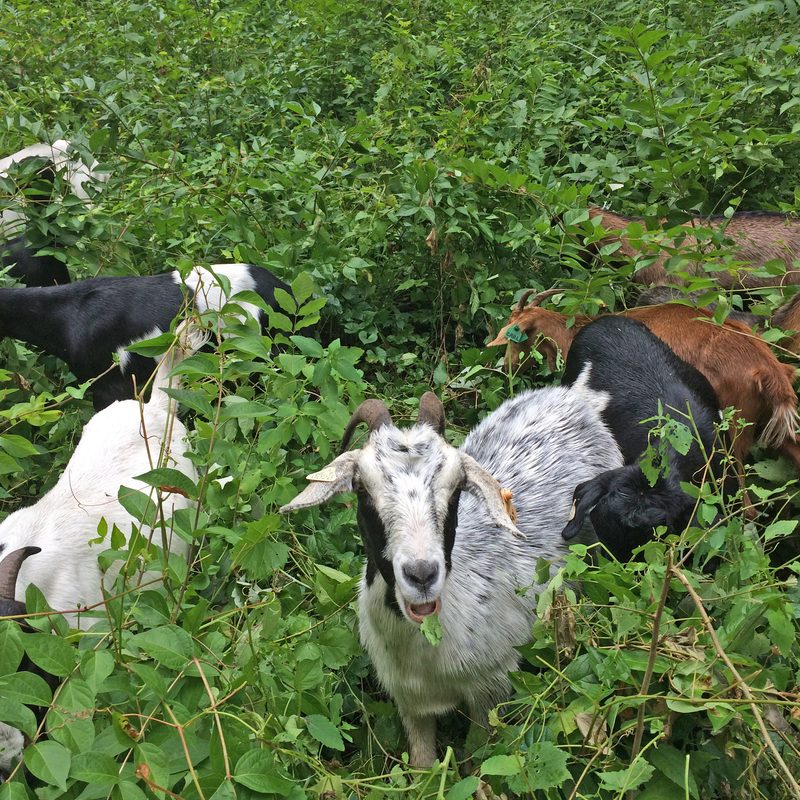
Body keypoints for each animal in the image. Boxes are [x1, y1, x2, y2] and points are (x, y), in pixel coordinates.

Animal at [280, 387, 623, 767]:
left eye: (457, 487)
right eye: (362, 489)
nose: (422, 574)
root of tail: (571, 397)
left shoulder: (491, 687)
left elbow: (478, 758)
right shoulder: (409, 701)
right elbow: (422, 766)